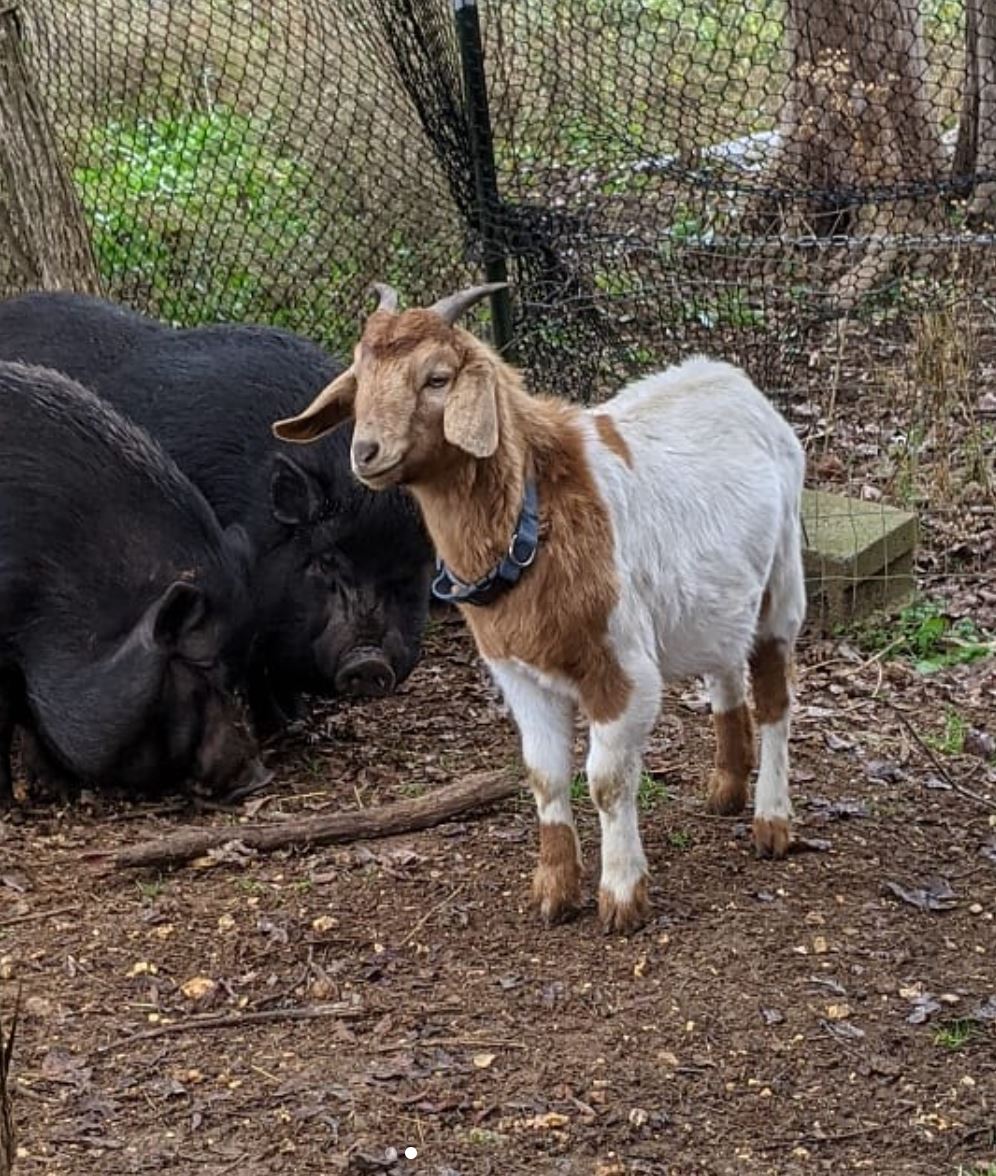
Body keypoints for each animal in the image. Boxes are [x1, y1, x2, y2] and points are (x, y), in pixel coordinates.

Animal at [273, 283, 807, 935]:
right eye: (359, 381)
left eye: (437, 378)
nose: (367, 452)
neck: (533, 519)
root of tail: (734, 379)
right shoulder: (517, 673)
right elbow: (544, 775)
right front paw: (553, 891)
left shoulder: (622, 670)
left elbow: (605, 781)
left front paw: (622, 896)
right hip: (717, 597)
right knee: (725, 669)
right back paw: (726, 788)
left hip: (782, 584)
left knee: (775, 699)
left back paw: (771, 823)